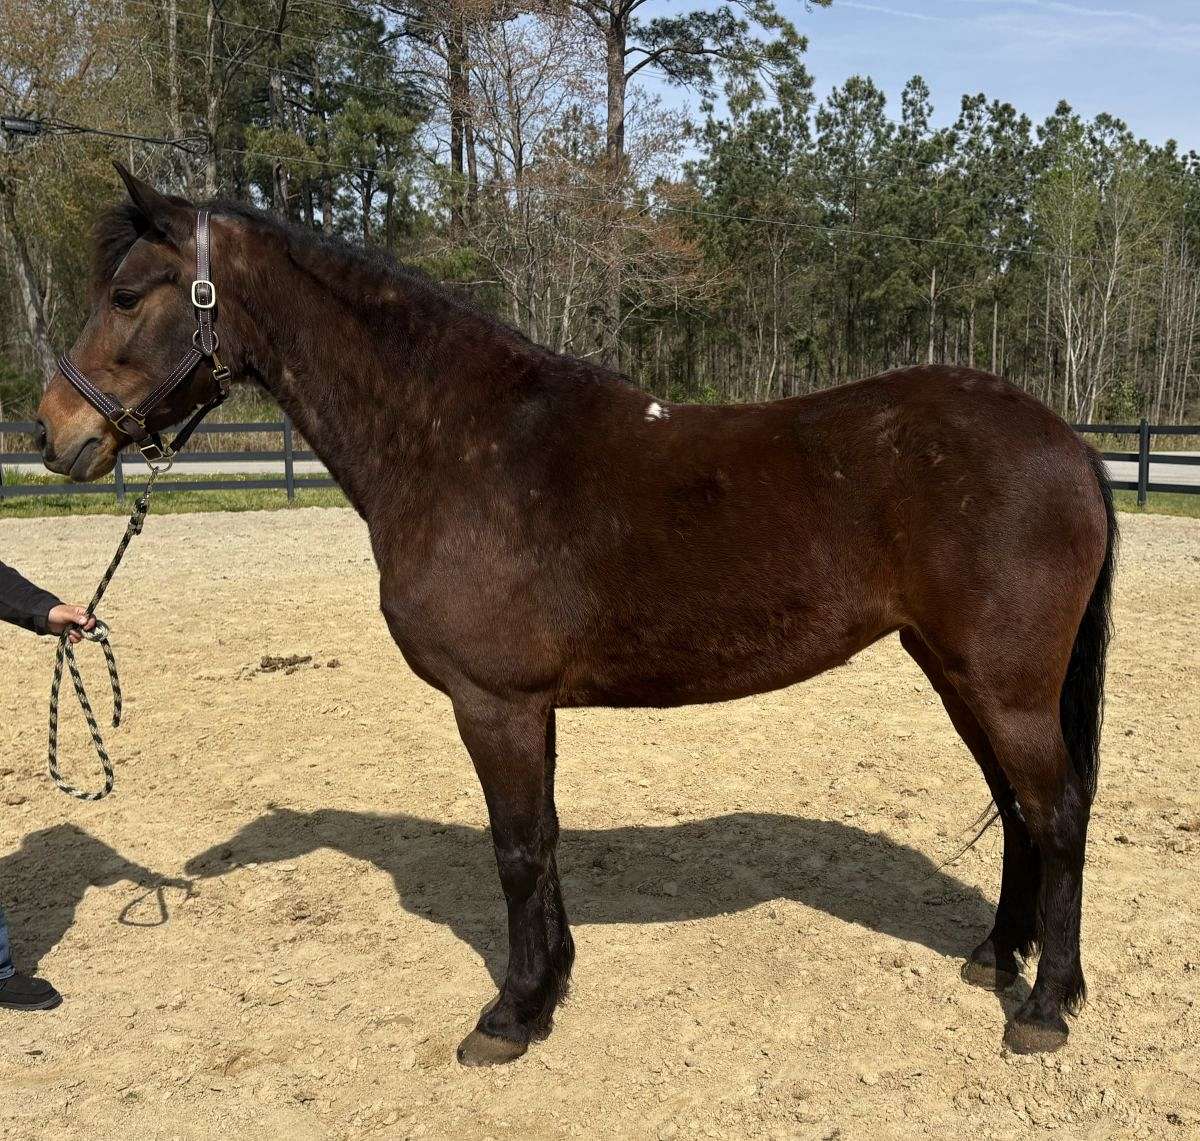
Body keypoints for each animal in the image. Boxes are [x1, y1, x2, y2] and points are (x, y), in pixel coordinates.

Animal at [36, 166, 1116, 1065]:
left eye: (127, 294)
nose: (54, 431)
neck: (460, 443)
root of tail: (1065, 441)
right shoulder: (529, 706)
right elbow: (544, 839)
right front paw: (550, 985)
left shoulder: (493, 702)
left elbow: (515, 850)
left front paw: (509, 1016)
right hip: (958, 672)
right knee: (1021, 810)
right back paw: (996, 956)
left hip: (1004, 684)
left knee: (1057, 811)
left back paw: (1046, 1005)